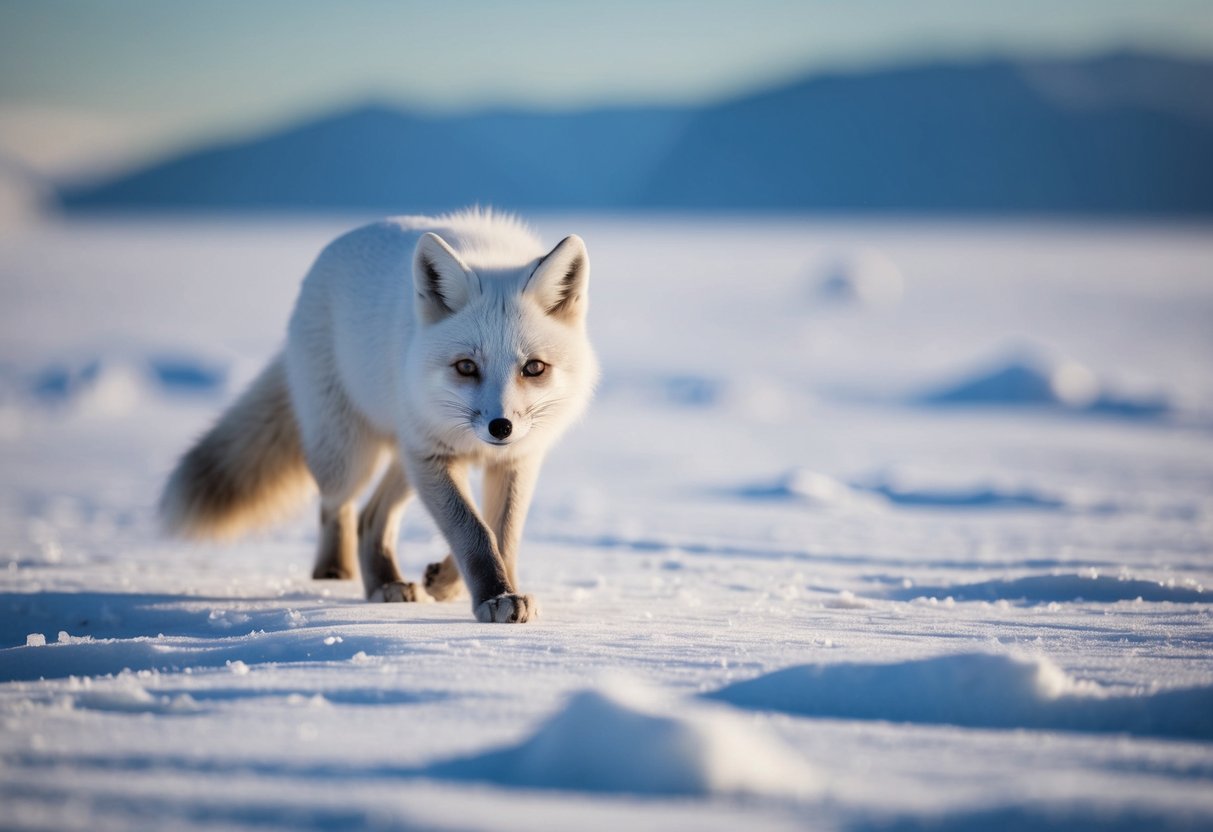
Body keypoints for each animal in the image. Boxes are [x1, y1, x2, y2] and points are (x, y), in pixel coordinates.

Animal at [159, 208, 598, 623]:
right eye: (467, 367)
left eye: (534, 368)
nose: (501, 427)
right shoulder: (433, 455)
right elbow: (474, 532)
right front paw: (495, 598)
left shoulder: (513, 459)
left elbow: (500, 533)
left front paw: (462, 584)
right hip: (352, 456)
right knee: (338, 507)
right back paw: (340, 573)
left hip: (405, 459)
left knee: (371, 518)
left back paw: (389, 583)